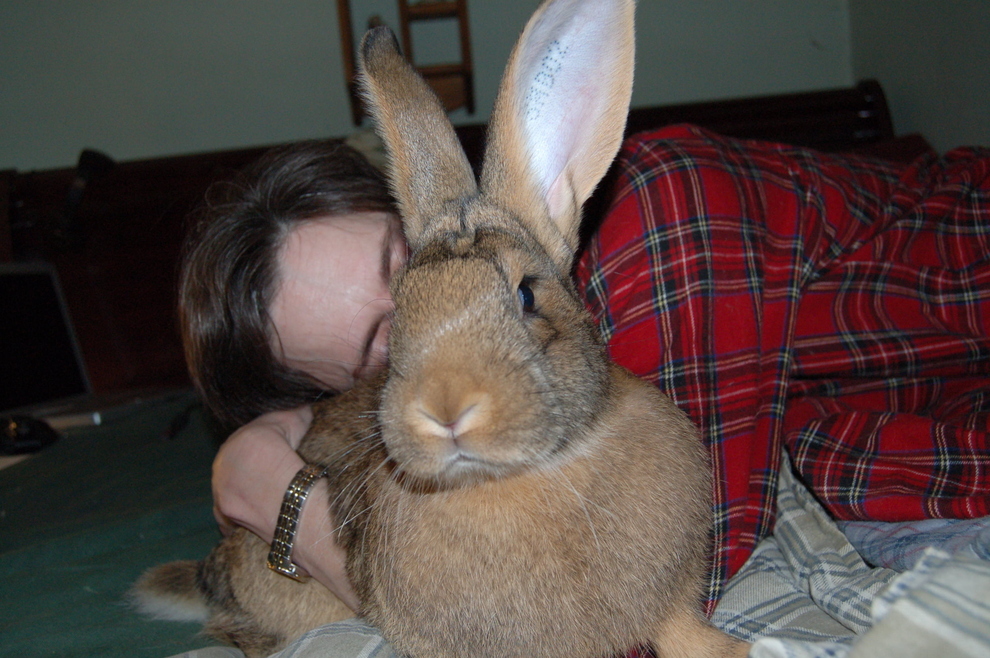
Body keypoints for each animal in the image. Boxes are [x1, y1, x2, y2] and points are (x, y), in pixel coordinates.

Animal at [132, 0, 751, 656]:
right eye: (398, 315)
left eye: (527, 295)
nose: (445, 407)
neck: (516, 476)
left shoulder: (673, 600)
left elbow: (687, 631)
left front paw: (741, 648)